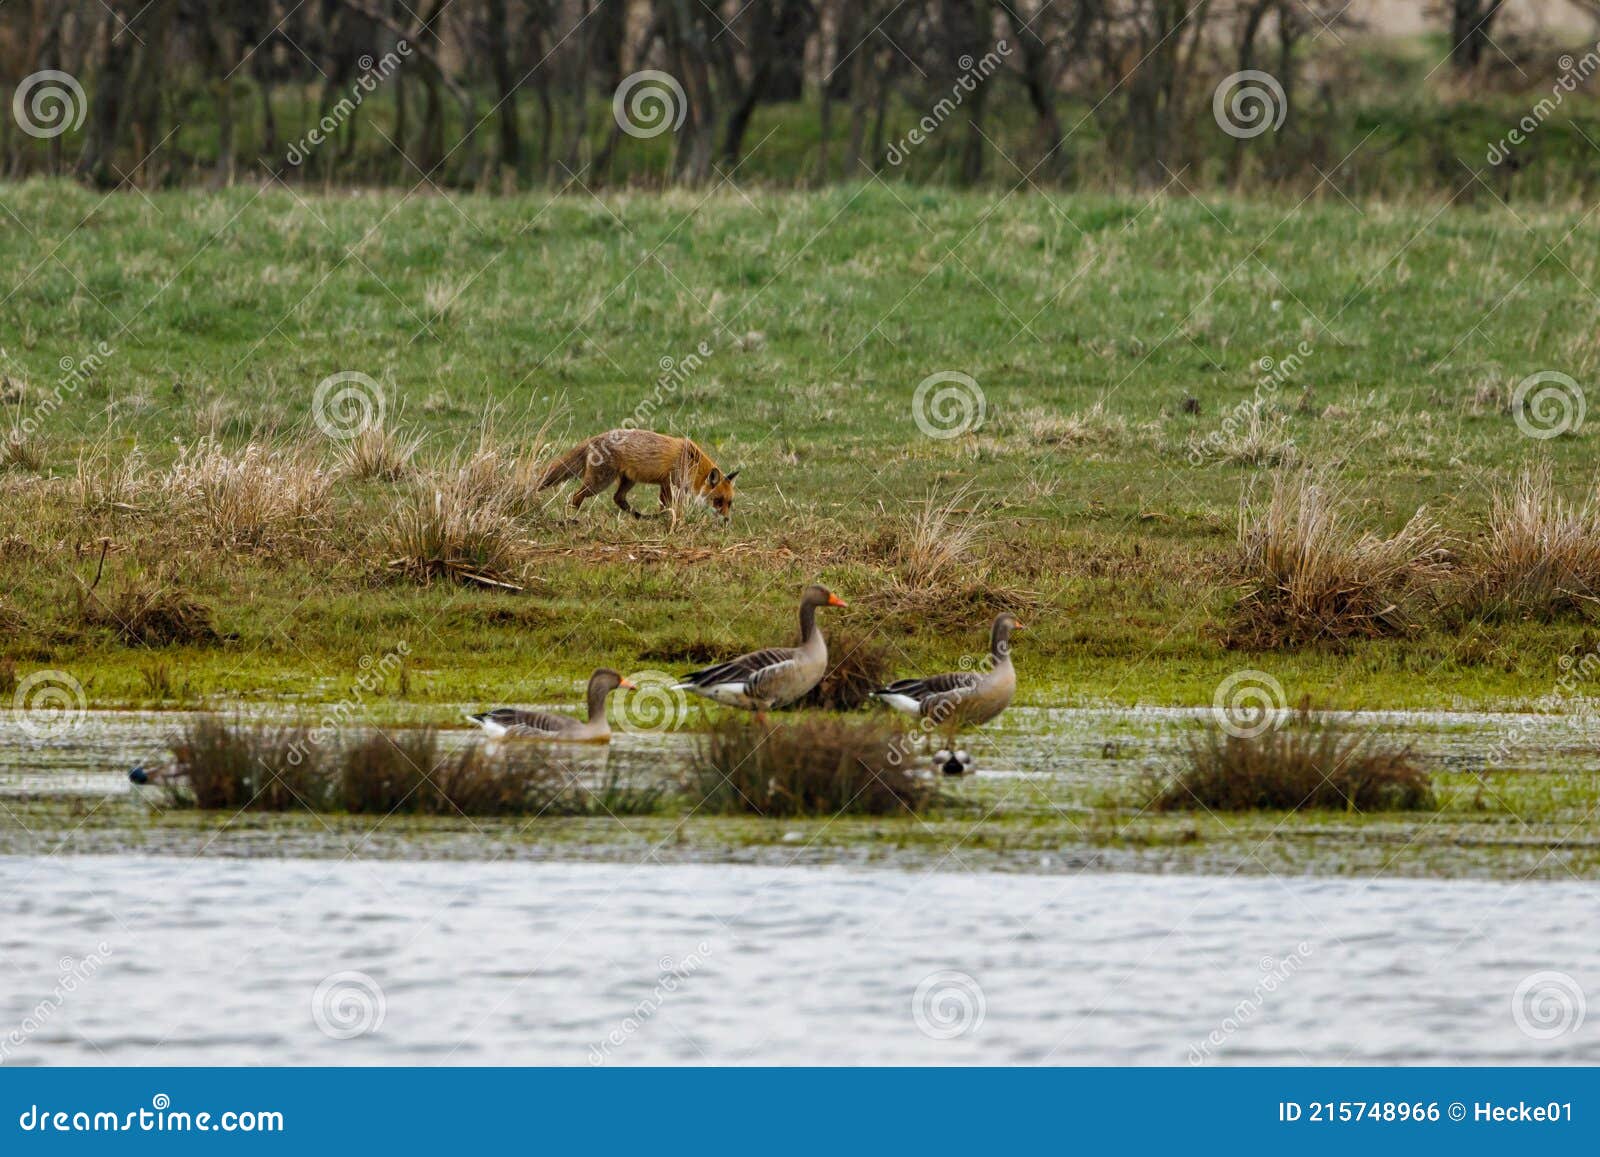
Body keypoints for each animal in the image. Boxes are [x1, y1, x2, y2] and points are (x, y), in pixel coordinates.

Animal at [538, 428, 739, 519]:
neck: (692, 464)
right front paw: (668, 518)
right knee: (576, 496)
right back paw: (574, 515)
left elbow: (666, 505)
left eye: (729, 503)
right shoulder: (669, 481)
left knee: (618, 499)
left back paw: (639, 516)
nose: (726, 520)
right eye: (718, 501)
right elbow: (667, 504)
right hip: (599, 482)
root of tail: (595, 437)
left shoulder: (666, 483)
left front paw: (663, 517)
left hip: (628, 481)